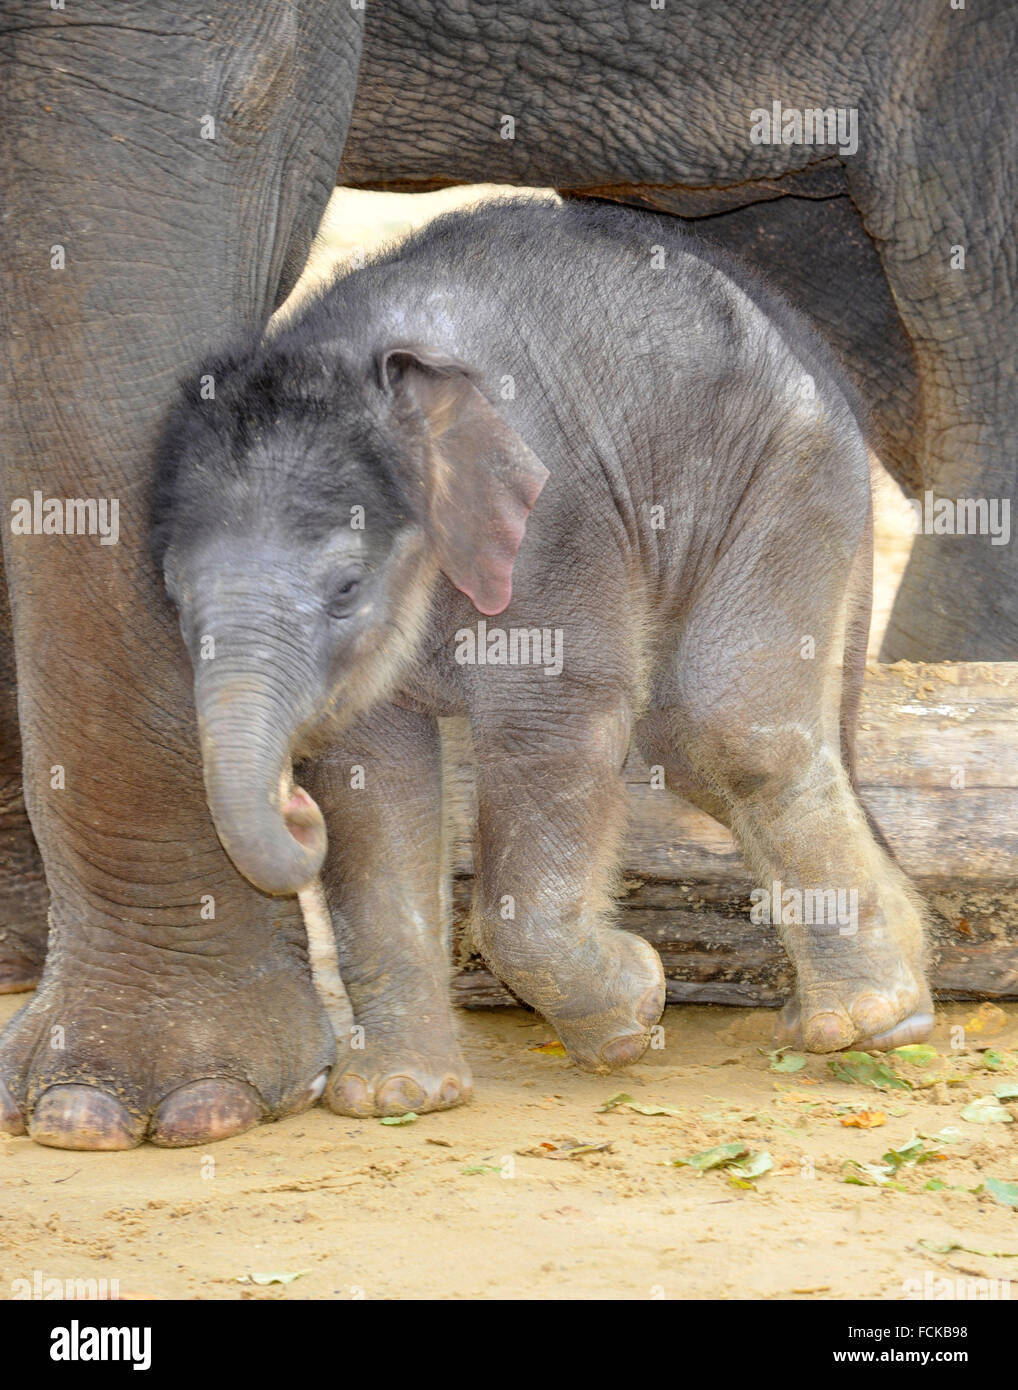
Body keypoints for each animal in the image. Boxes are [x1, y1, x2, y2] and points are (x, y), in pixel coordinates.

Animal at [150, 198, 931, 1118]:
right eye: (172, 595)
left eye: (345, 588)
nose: (290, 807)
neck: (367, 359)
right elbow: (372, 780)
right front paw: (399, 1097)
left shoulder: (559, 525)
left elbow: (552, 726)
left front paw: (634, 1007)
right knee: (690, 747)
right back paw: (898, 993)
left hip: (787, 475)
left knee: (730, 727)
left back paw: (866, 1020)